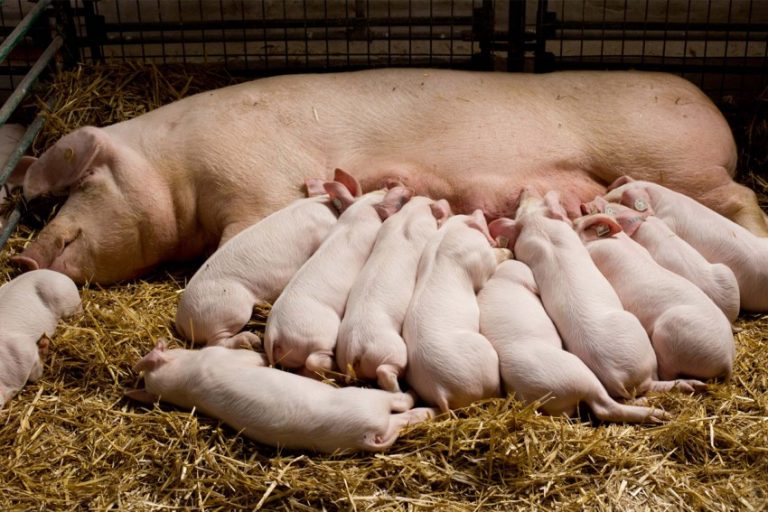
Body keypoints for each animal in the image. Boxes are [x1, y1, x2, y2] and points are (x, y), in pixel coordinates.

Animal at [9, 69, 762, 284]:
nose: (23, 255)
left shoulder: (253, 180)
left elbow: (240, 238)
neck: (176, 172)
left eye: (84, 184)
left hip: (676, 162)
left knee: (742, 194)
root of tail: (712, 110)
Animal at [126, 340, 435, 453]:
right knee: (400, 405)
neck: (184, 383)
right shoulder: (226, 357)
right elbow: (254, 358)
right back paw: (421, 402)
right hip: (368, 401)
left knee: (397, 422)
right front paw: (264, 355)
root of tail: (364, 436)